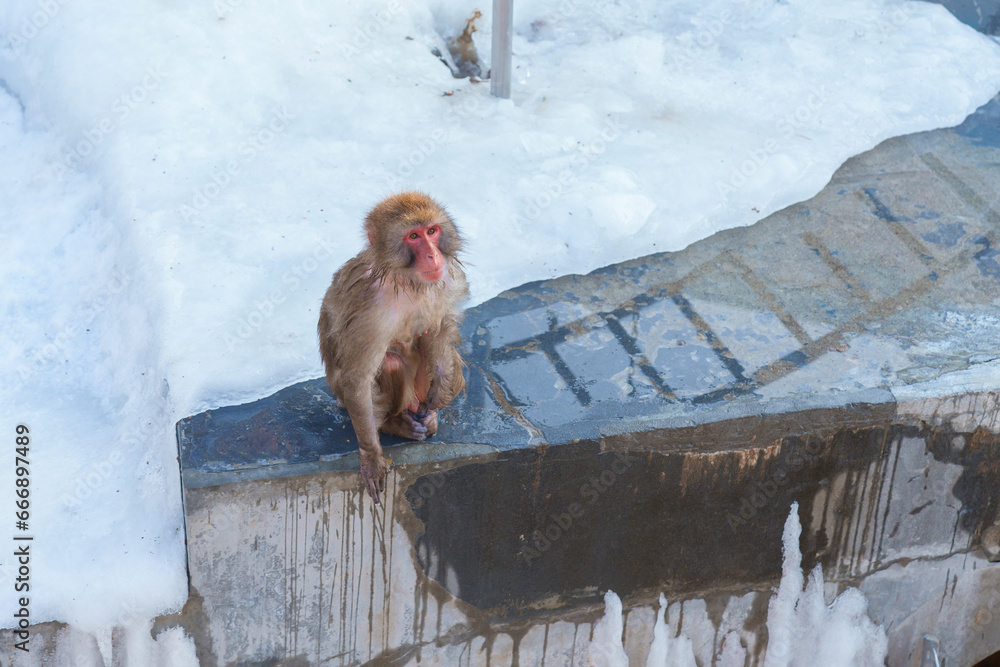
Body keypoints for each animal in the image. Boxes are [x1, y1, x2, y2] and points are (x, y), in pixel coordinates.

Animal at [318, 192, 468, 504]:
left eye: (431, 231)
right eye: (413, 236)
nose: (432, 256)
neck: (408, 279)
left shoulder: (447, 278)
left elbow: (441, 326)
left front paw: (442, 389)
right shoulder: (370, 309)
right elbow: (356, 378)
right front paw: (372, 457)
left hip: (418, 392)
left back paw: (428, 414)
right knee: (388, 363)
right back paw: (394, 424)